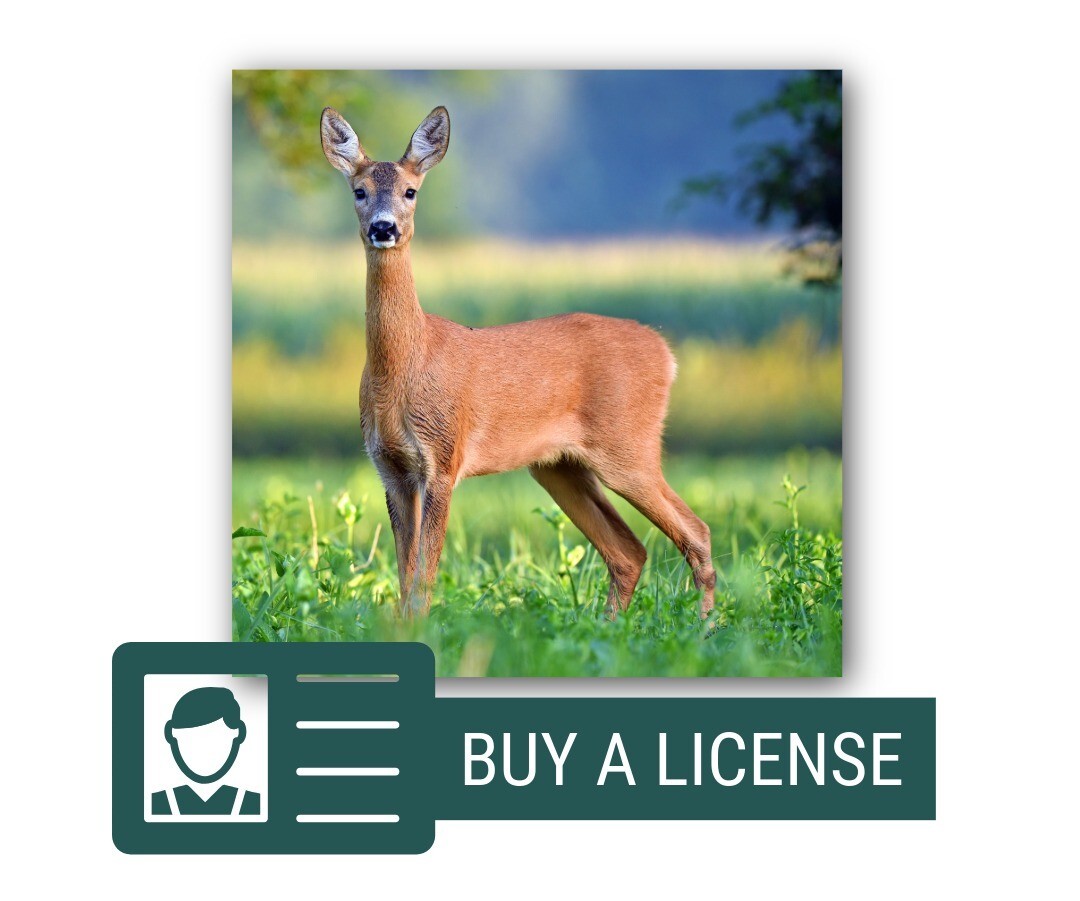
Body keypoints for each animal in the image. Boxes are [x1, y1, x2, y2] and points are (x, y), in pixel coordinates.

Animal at [320, 105, 716, 621]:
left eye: (410, 191)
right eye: (359, 190)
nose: (383, 228)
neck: (406, 365)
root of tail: (666, 353)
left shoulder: (444, 457)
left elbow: (424, 576)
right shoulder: (390, 467)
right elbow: (405, 578)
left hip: (629, 444)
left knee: (696, 532)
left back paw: (705, 628)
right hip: (558, 465)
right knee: (629, 550)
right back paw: (611, 627)